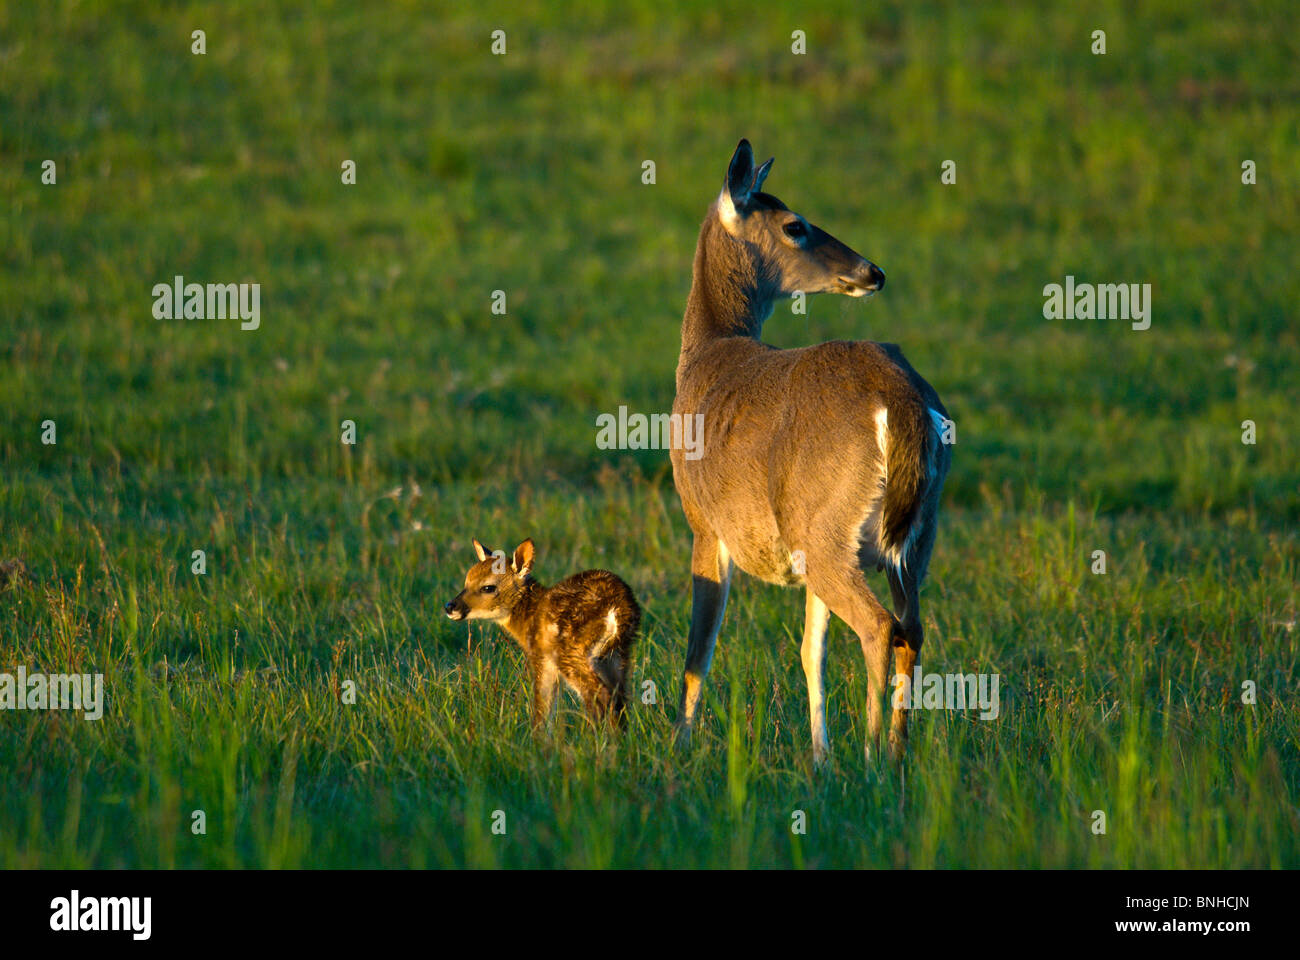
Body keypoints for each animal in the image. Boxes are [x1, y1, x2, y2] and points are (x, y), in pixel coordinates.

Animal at [443, 538, 641, 732]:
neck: (528, 617)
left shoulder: (540, 656)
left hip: (571, 651)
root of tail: (619, 607)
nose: (450, 606)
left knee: (599, 696)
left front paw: (538, 738)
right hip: (617, 655)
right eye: (466, 581)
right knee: (620, 702)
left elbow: (542, 706)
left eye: (488, 587)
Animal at [669, 139, 951, 766]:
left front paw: (678, 745)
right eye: (794, 225)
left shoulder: (704, 521)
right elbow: (809, 651)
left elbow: (700, 647)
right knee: (912, 628)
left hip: (826, 528)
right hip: (907, 538)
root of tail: (901, 397)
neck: (706, 353)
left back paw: (872, 756)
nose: (873, 271)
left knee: (879, 626)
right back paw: (896, 754)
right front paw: (820, 757)